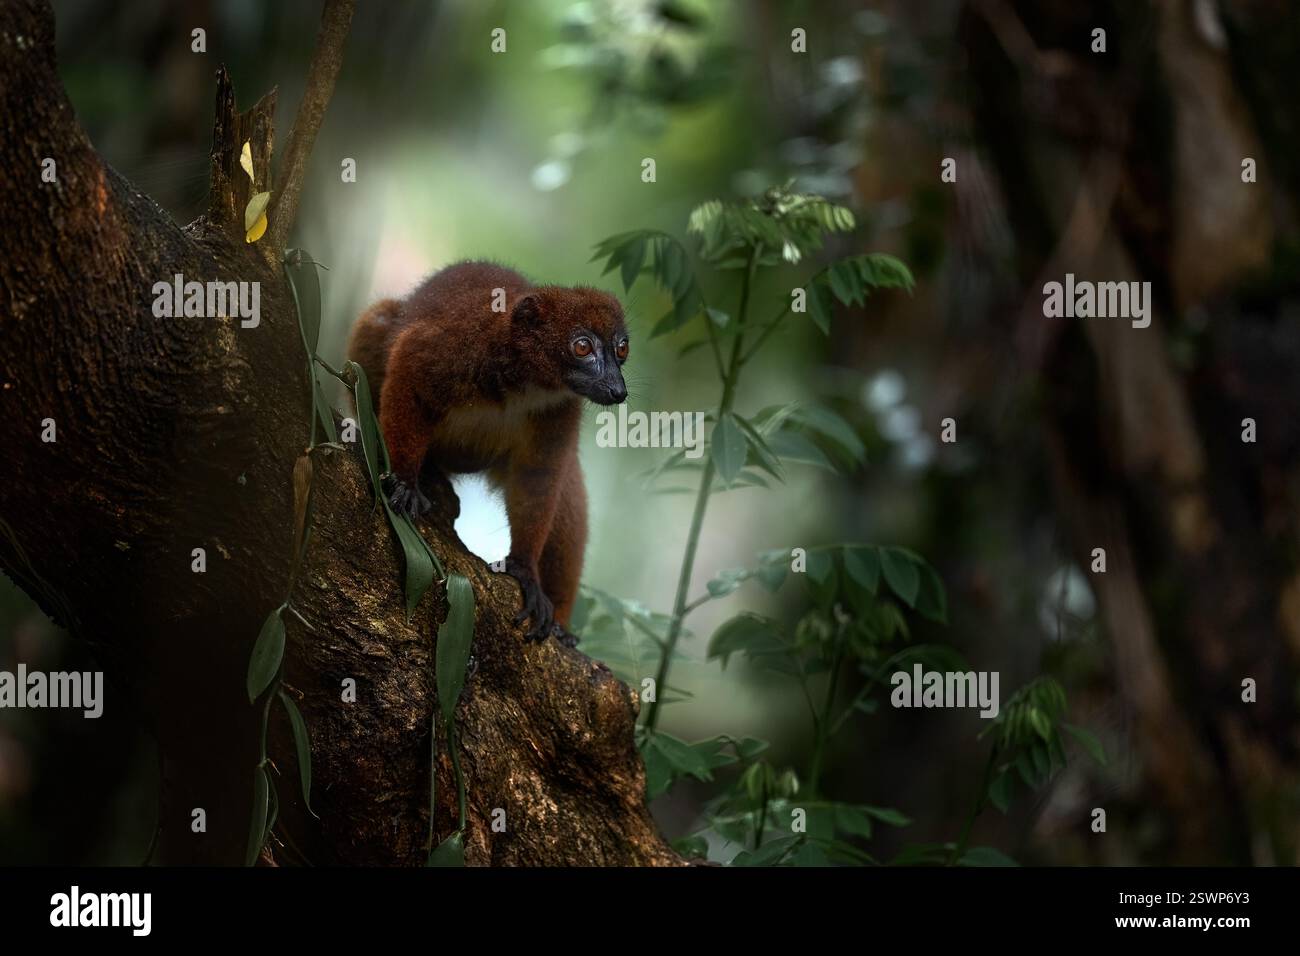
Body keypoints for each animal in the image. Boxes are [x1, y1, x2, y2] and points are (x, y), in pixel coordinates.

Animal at [347, 261, 629, 645]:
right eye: (583, 347)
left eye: (621, 350)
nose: (618, 388)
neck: (528, 380)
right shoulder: (462, 347)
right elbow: (409, 361)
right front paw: (404, 479)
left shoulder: (562, 406)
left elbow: (538, 475)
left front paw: (524, 569)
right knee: (378, 319)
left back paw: (561, 625)